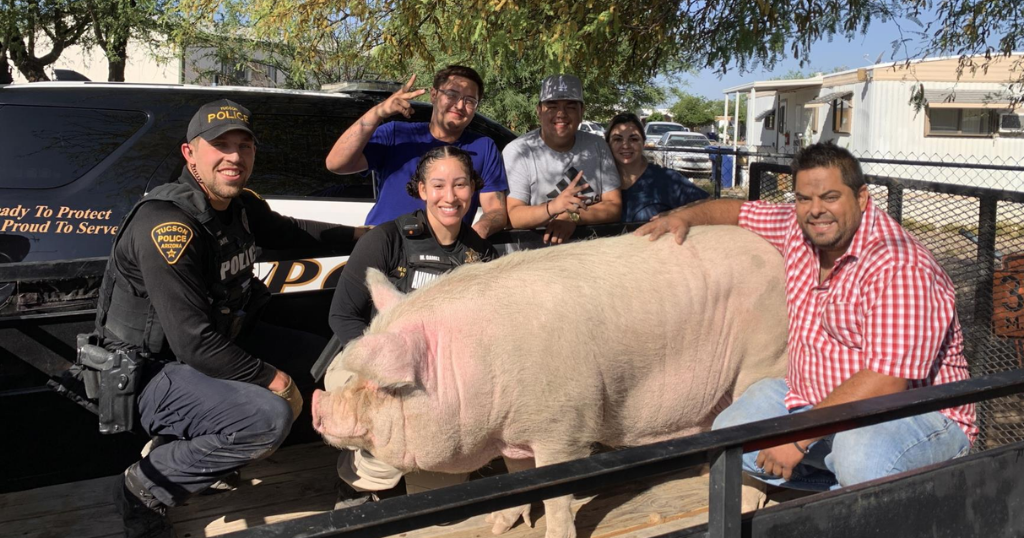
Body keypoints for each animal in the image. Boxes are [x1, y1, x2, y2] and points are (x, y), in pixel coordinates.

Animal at [311, 226, 788, 538]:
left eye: (381, 386)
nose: (317, 404)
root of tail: (776, 255)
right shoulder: (513, 434)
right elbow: (517, 478)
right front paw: (498, 525)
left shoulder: (566, 428)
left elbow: (558, 494)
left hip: (766, 358)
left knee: (754, 435)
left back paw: (747, 503)